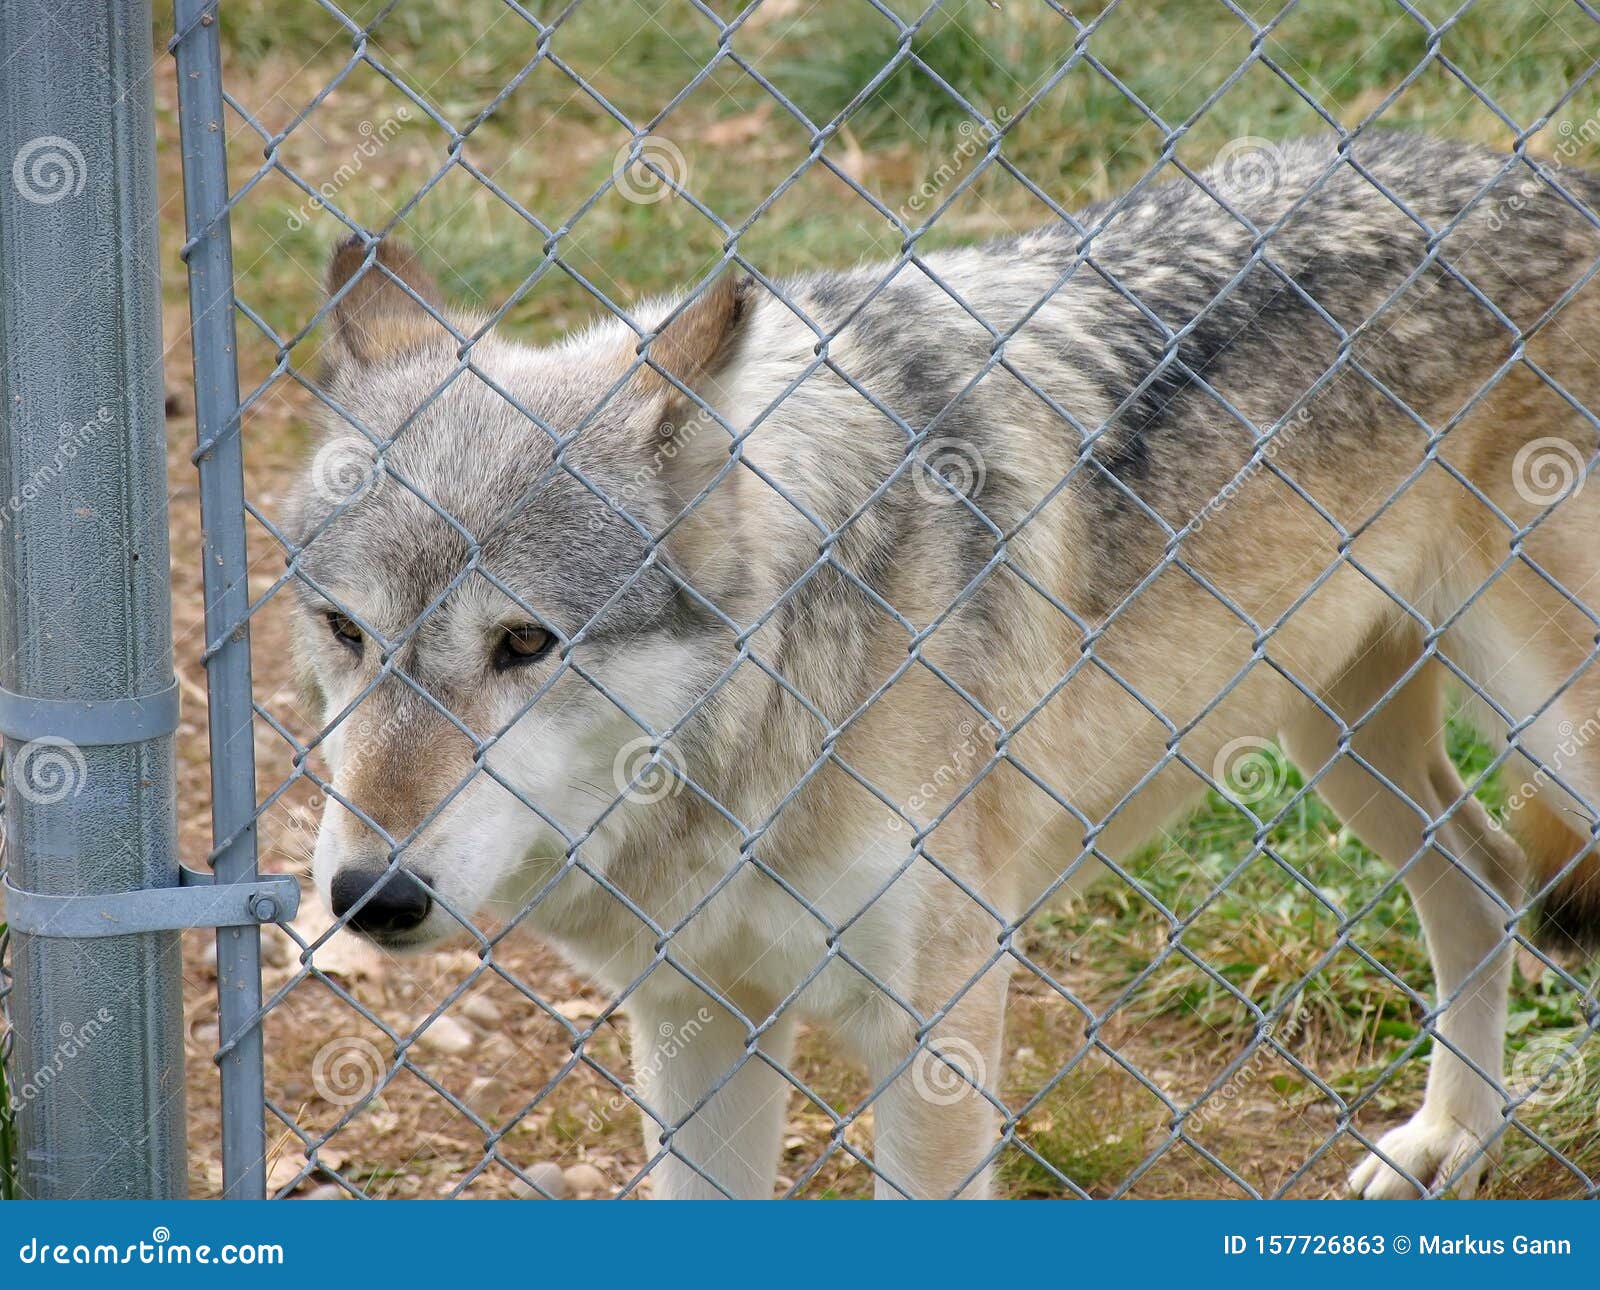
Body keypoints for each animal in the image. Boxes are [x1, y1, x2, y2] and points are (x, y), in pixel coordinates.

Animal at [289, 132, 1600, 1199]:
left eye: (523, 643)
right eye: (343, 631)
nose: (368, 896)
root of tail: (1559, 178)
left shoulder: (939, 1035)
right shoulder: (696, 1020)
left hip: (1533, 726)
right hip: (1331, 731)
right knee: (1483, 876)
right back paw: (1451, 1141)